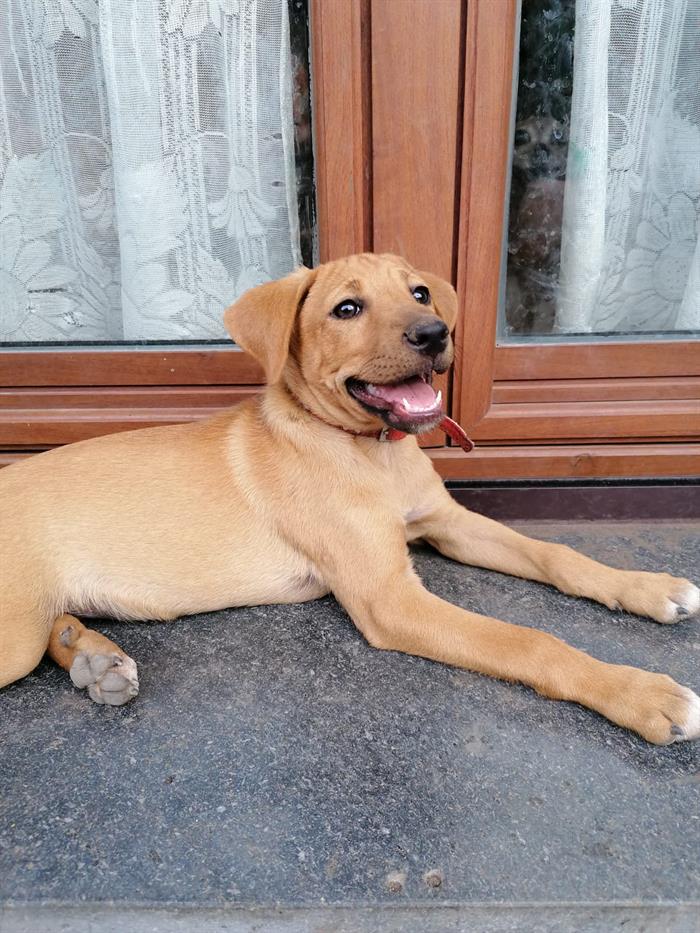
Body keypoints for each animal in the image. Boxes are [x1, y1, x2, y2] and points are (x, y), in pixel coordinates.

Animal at [1, 253, 700, 744]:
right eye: (346, 309)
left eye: (419, 292)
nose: (434, 333)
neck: (373, 451)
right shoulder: (389, 598)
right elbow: (529, 642)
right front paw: (643, 694)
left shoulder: (447, 523)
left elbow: (558, 554)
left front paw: (649, 586)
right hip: (14, 635)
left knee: (60, 623)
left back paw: (96, 660)